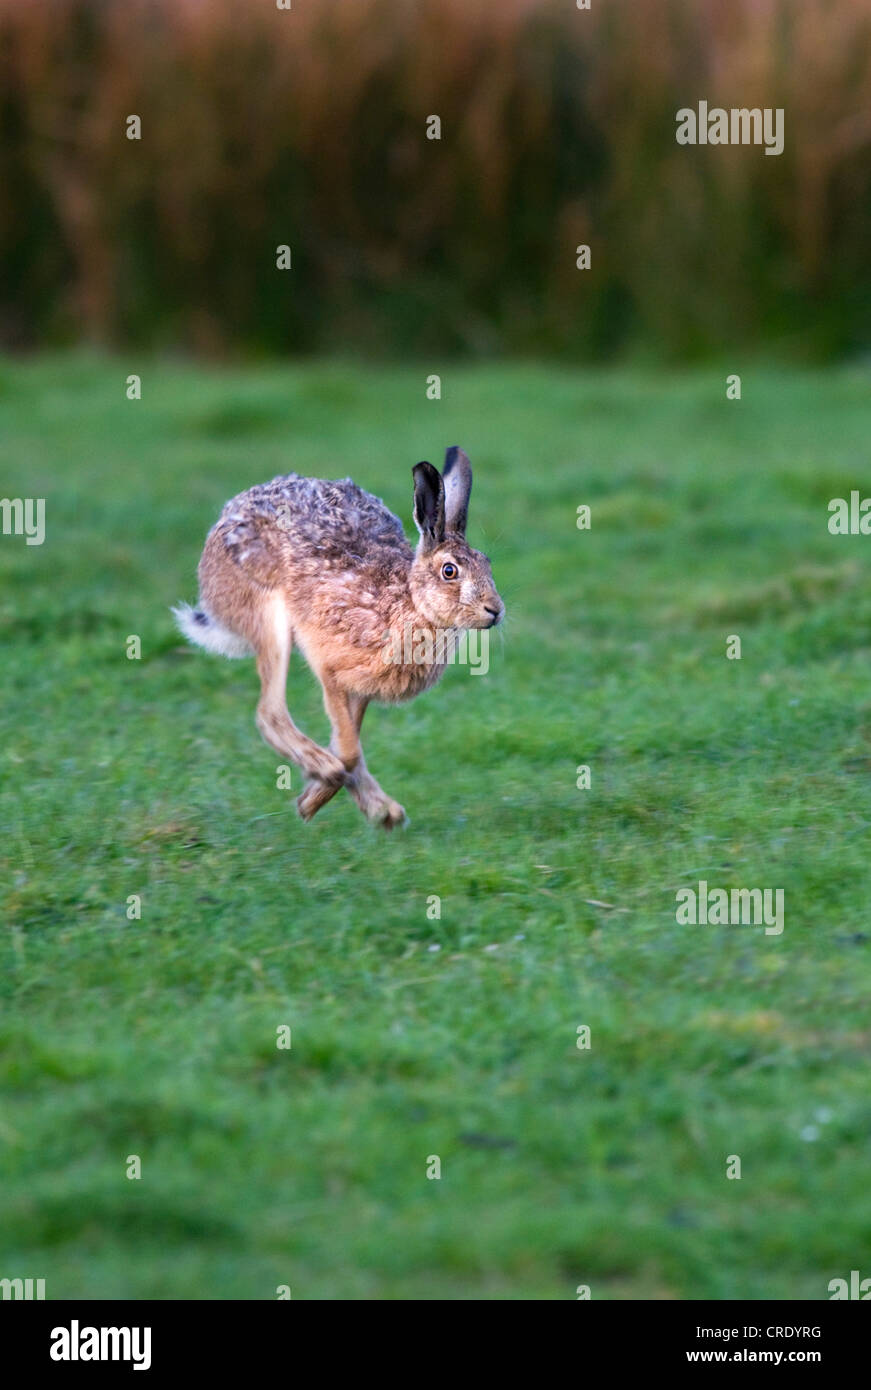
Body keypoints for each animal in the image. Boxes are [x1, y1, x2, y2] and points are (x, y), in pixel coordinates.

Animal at [173, 446, 504, 827]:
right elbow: (346, 749)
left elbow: (349, 741)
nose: (495, 610)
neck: (408, 604)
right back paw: (323, 767)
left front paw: (345, 803)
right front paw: (320, 793)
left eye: (487, 563)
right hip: (269, 618)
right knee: (269, 712)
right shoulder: (329, 668)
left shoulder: (361, 689)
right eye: (450, 571)